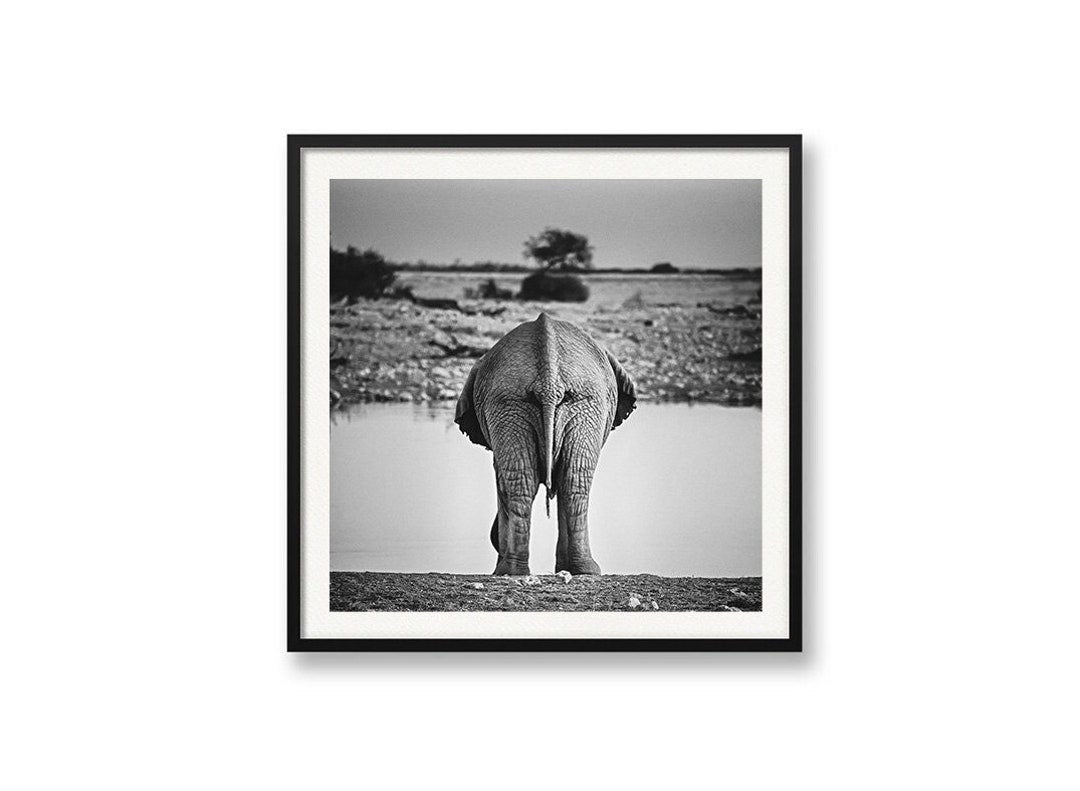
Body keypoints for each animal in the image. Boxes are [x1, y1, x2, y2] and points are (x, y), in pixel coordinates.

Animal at [455, 313, 636, 576]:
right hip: (517, 404)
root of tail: (548, 381)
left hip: (575, 402)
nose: (492, 537)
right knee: (555, 481)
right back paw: (520, 571)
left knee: (565, 480)